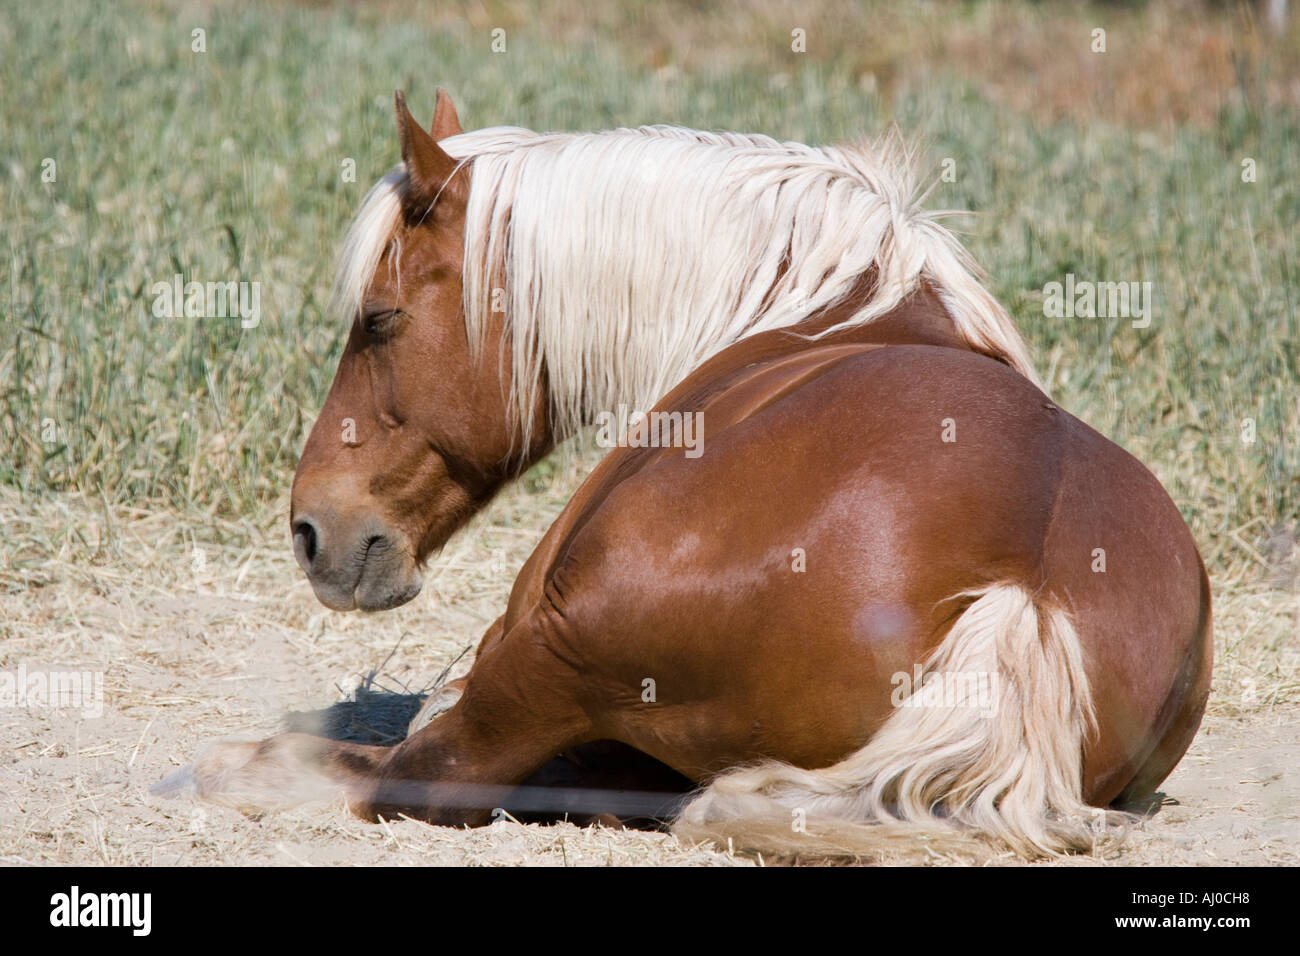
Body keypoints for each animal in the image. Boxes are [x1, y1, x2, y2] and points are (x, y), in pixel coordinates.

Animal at [172, 91, 1212, 859]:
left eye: (381, 317)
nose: (315, 531)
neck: (819, 309)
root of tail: (1019, 595)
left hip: (544, 648)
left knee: (418, 772)